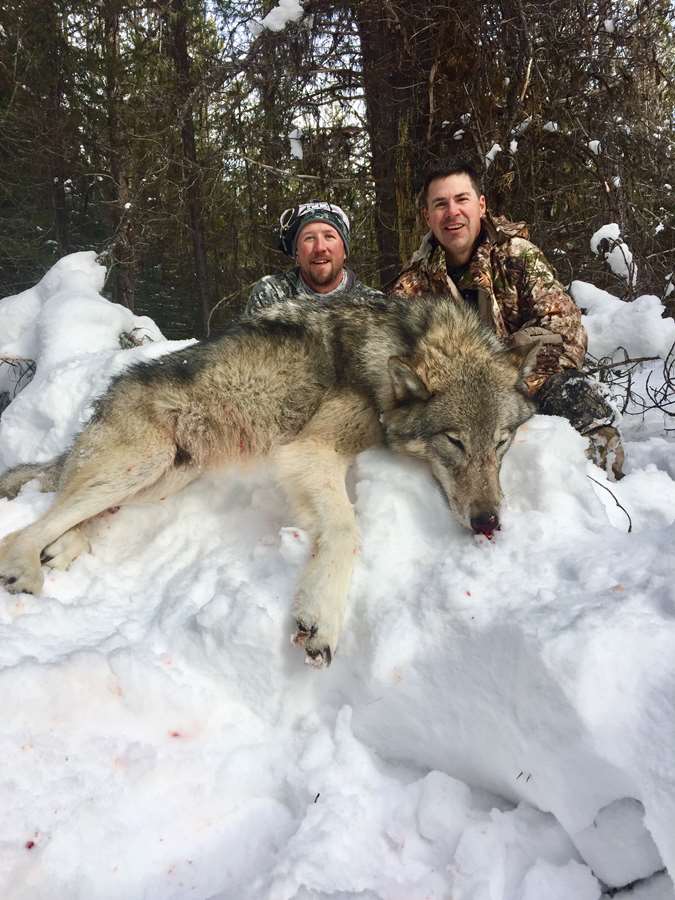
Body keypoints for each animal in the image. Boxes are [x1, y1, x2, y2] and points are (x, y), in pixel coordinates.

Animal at [0, 295, 538, 666]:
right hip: (142, 463)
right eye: (454, 442)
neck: (388, 355)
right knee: (26, 530)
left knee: (79, 514)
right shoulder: (308, 452)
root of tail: (109, 392)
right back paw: (25, 567)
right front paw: (320, 618)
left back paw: (64, 548)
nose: (488, 522)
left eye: (501, 442)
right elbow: (345, 529)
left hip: (166, 476)